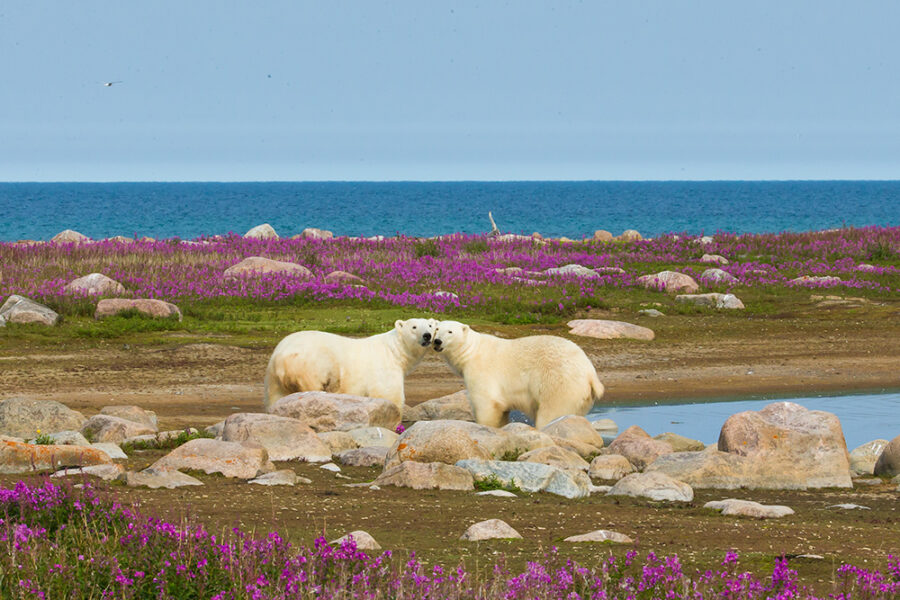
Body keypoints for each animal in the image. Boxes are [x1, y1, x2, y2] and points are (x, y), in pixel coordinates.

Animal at [263, 318, 437, 413]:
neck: (395, 350)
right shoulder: (384, 370)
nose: (427, 336)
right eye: (414, 327)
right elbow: (390, 395)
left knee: (276, 397)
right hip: (310, 365)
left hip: (274, 379)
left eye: (430, 326)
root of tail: (281, 357)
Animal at [431, 320, 604, 429]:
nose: (437, 341)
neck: (471, 351)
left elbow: (486, 402)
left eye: (450, 331)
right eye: (436, 329)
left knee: (552, 412)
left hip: (560, 383)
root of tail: (590, 372)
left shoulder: (481, 370)